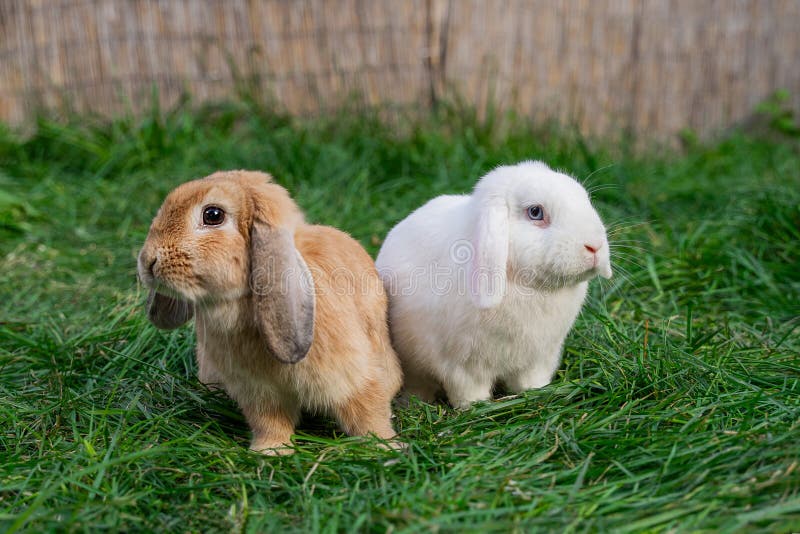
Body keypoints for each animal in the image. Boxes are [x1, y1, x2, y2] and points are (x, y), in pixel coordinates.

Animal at [137, 170, 402, 454]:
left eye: (213, 215)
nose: (148, 261)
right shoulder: (260, 394)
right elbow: (270, 422)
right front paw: (270, 452)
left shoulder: (355, 378)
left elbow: (369, 413)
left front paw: (385, 446)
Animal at [375, 161, 612, 409]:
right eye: (535, 212)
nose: (594, 246)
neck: (528, 286)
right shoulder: (461, 366)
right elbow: (468, 390)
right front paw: (474, 408)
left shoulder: (539, 357)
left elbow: (530, 380)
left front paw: (535, 393)